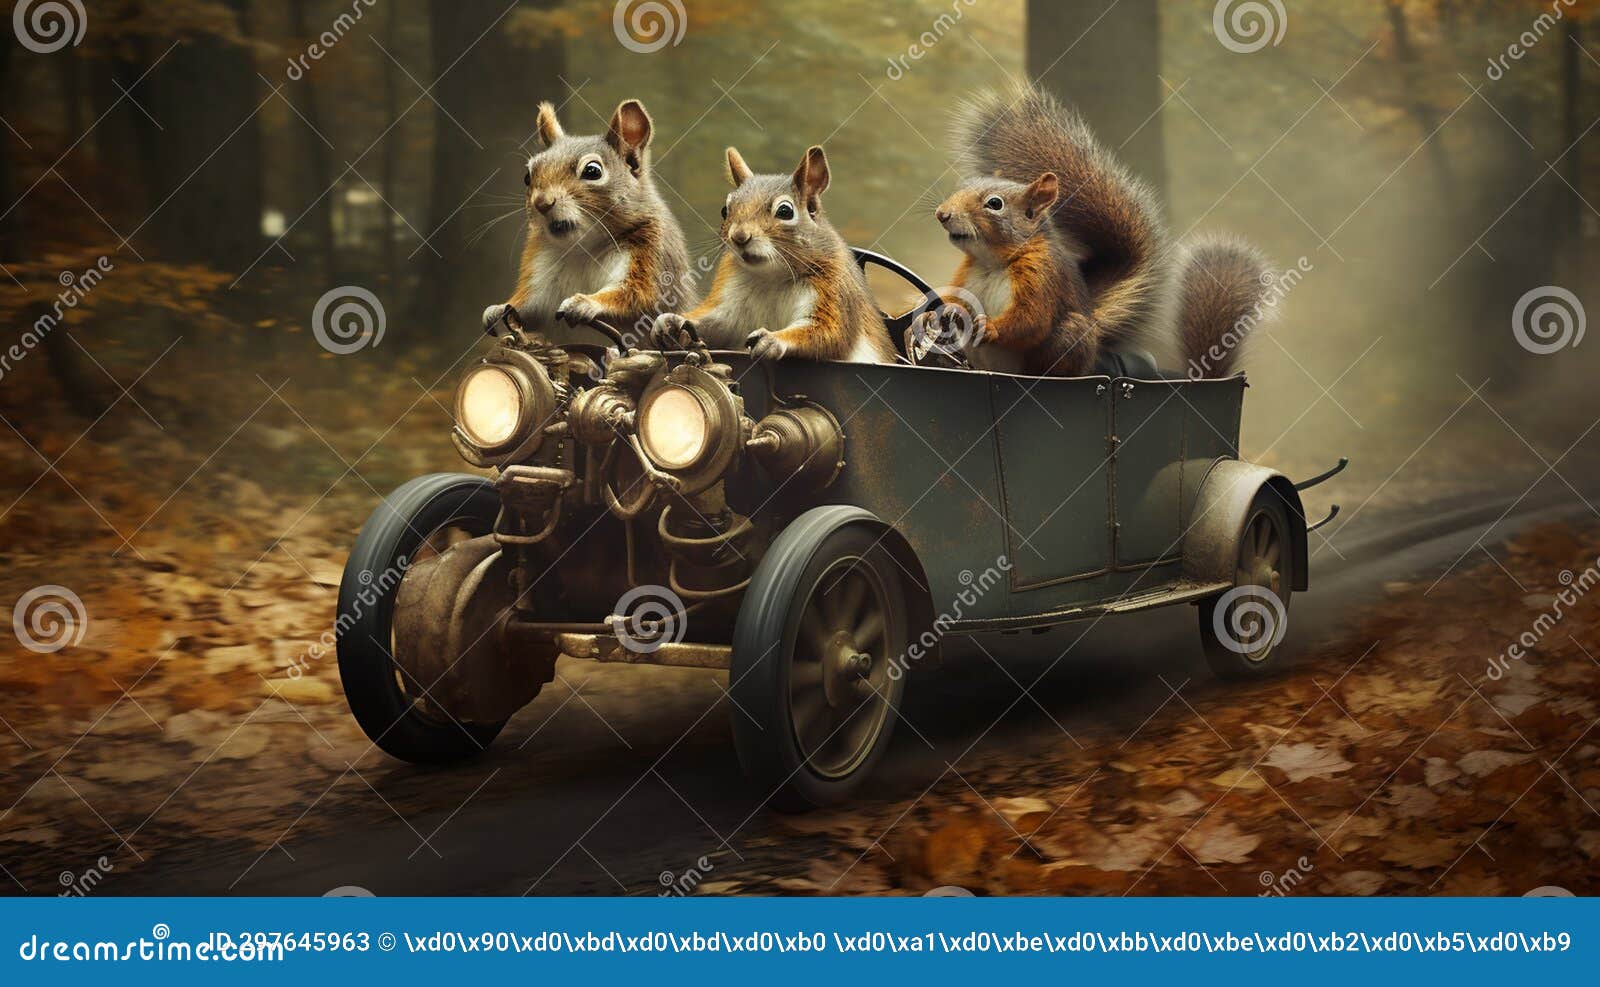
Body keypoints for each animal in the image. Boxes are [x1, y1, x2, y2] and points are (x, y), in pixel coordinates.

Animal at [482, 99, 692, 346]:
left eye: (592, 171)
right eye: (527, 177)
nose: (542, 202)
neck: (583, 248)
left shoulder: (652, 257)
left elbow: (639, 297)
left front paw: (585, 302)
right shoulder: (540, 270)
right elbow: (530, 308)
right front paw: (498, 309)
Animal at [652, 145, 896, 364]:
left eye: (785, 211)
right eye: (724, 210)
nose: (739, 236)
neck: (771, 277)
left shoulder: (834, 291)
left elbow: (826, 332)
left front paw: (772, 339)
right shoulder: (730, 302)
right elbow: (717, 323)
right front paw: (671, 320)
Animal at [914, 84, 1274, 378]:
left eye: (994, 204)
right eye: (964, 187)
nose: (942, 214)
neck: (994, 262)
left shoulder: (1042, 276)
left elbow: (1031, 319)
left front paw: (989, 326)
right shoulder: (967, 274)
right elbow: (952, 296)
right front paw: (930, 313)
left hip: (1070, 336)